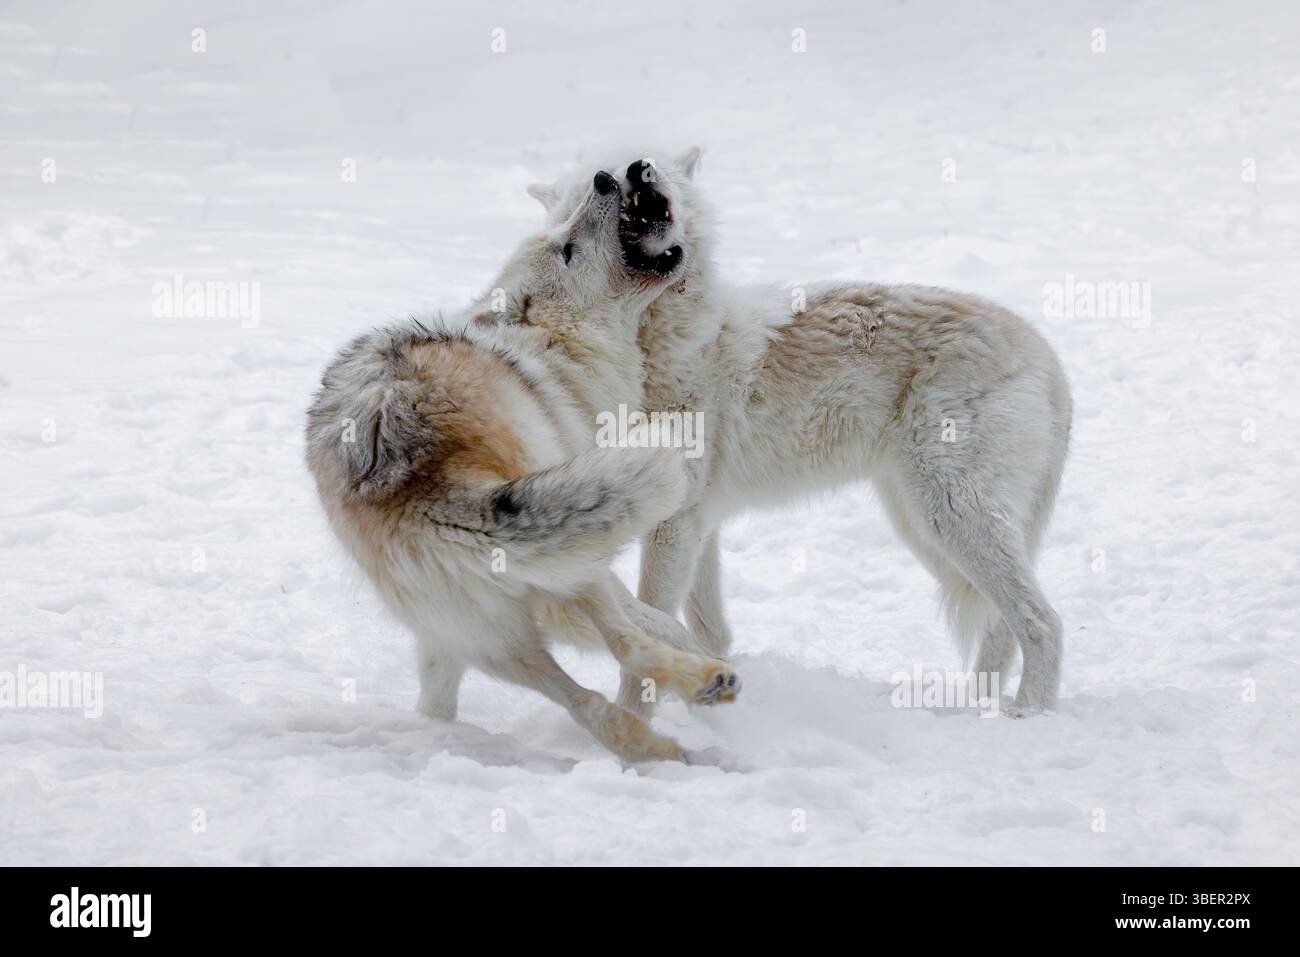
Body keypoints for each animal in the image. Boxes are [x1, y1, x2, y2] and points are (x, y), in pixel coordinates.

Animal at [305, 169, 739, 766]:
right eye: (568, 248)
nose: (606, 177)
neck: (557, 347)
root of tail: (406, 460)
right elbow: (640, 619)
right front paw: (691, 651)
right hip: (567, 559)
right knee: (620, 639)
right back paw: (700, 687)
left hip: (493, 634)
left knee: (583, 699)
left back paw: (657, 745)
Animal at [529, 151, 1073, 715]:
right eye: (599, 182)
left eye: (649, 172)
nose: (636, 169)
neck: (656, 347)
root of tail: (1046, 353)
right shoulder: (698, 524)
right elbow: (708, 631)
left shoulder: (673, 524)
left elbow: (647, 634)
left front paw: (639, 717)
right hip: (924, 529)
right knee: (1003, 626)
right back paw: (976, 711)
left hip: (949, 518)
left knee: (1043, 622)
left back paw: (1027, 715)